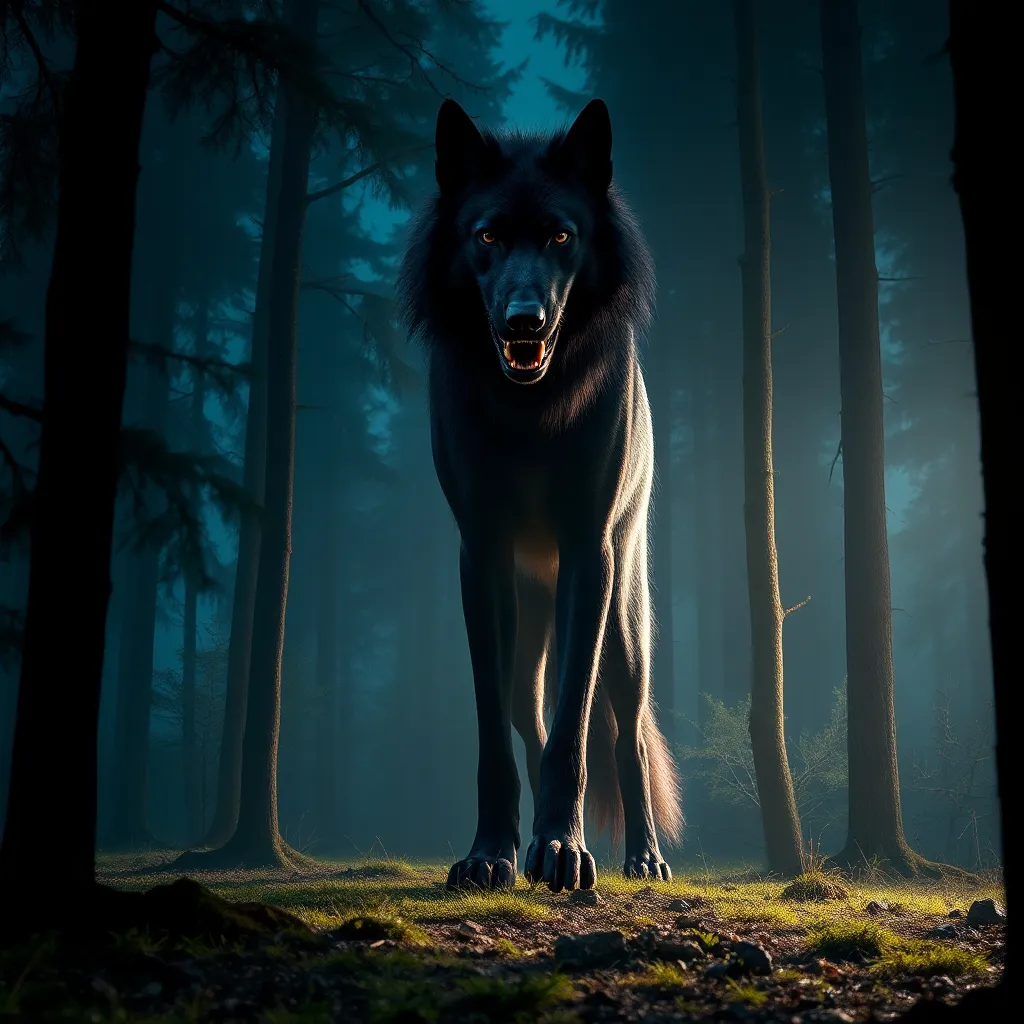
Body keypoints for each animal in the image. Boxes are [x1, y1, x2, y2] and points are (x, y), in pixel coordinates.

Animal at [398, 98, 682, 892]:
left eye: (561, 235)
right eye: (488, 235)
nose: (524, 320)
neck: (529, 407)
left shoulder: (590, 554)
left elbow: (579, 736)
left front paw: (563, 851)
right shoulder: (482, 555)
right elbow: (498, 738)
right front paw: (491, 853)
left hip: (626, 625)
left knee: (624, 733)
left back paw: (644, 858)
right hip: (530, 648)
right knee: (535, 723)